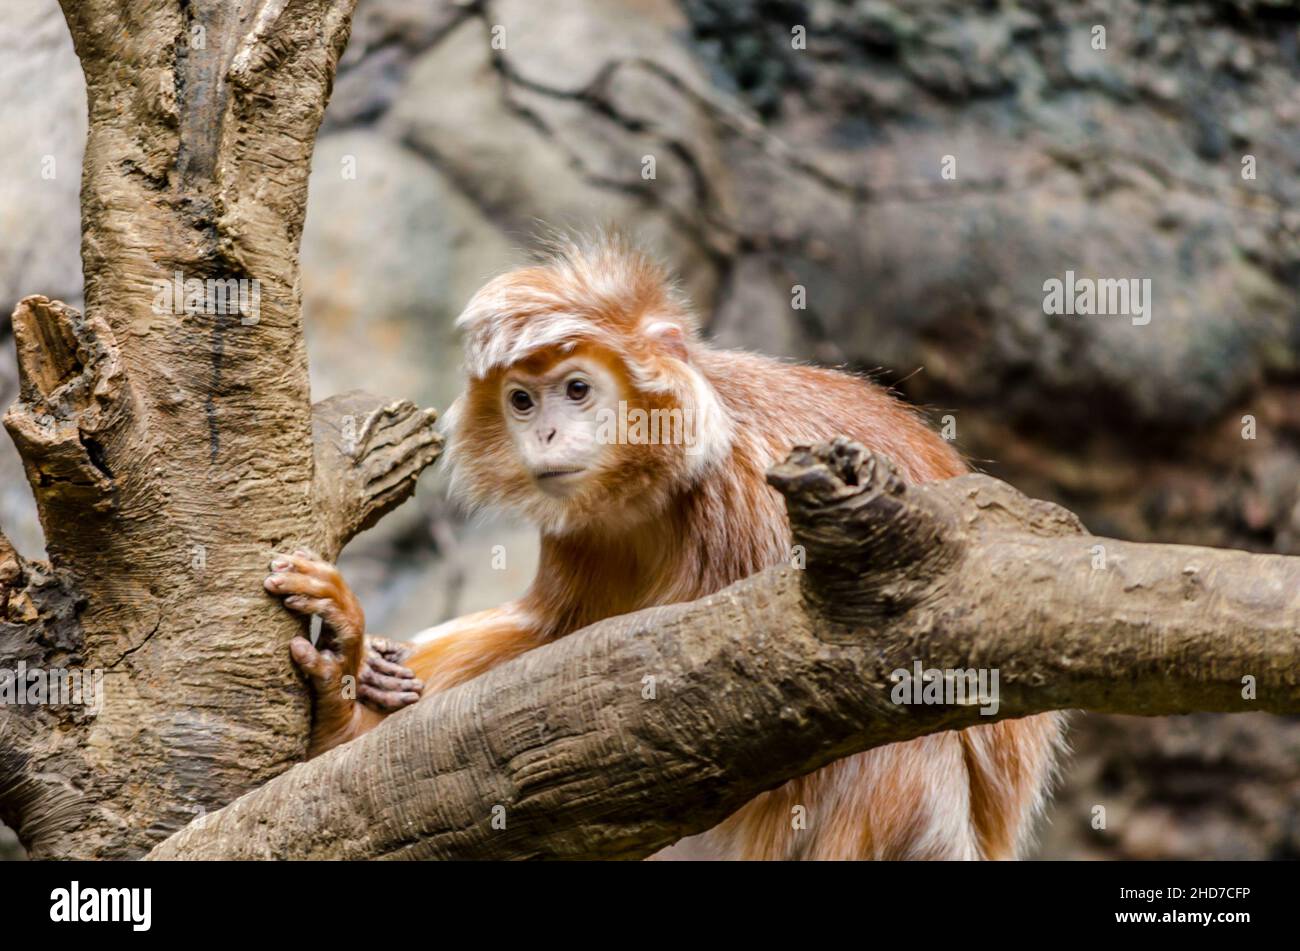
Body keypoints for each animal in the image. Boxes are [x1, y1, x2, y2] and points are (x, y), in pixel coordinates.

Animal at [265, 233, 1062, 860]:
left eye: (577, 390)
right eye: (523, 400)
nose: (544, 432)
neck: (658, 486)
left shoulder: (756, 484)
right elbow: (544, 640)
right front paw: (362, 670)